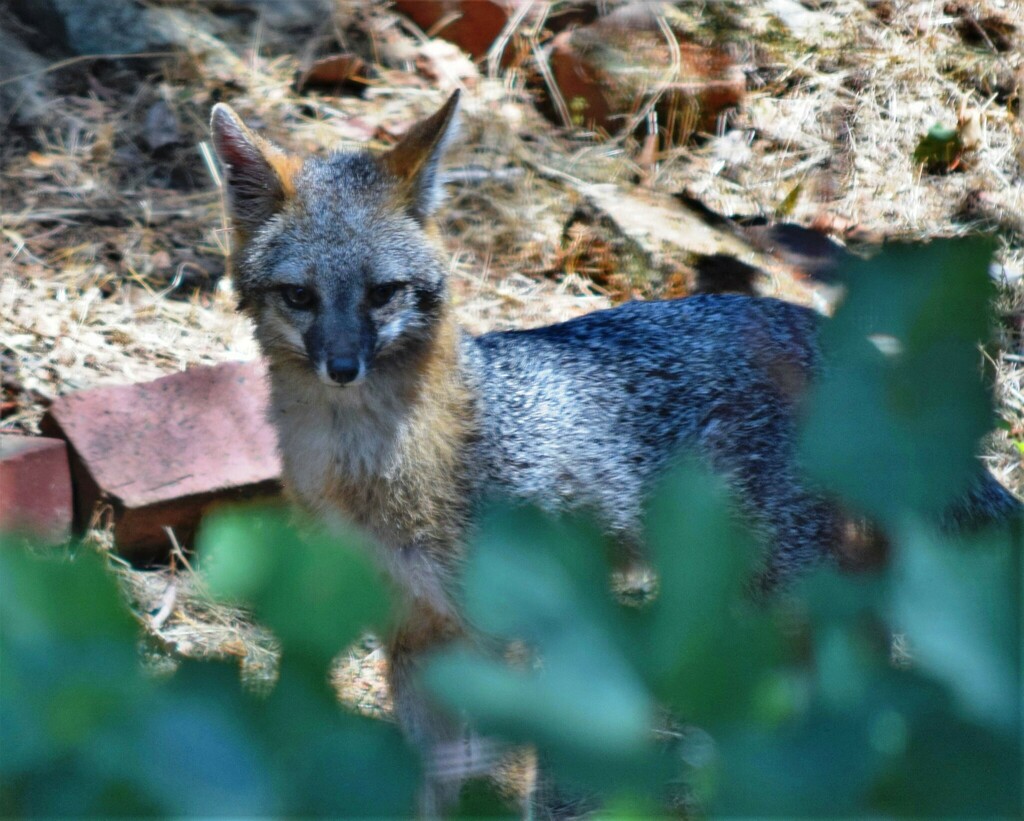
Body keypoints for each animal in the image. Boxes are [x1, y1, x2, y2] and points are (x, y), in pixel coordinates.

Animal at [210, 90, 1021, 815]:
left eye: (383, 294)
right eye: (300, 296)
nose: (342, 366)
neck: (373, 468)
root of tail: (818, 329)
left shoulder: (499, 641)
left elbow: (496, 789)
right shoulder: (412, 632)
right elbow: (431, 789)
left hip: (780, 599)